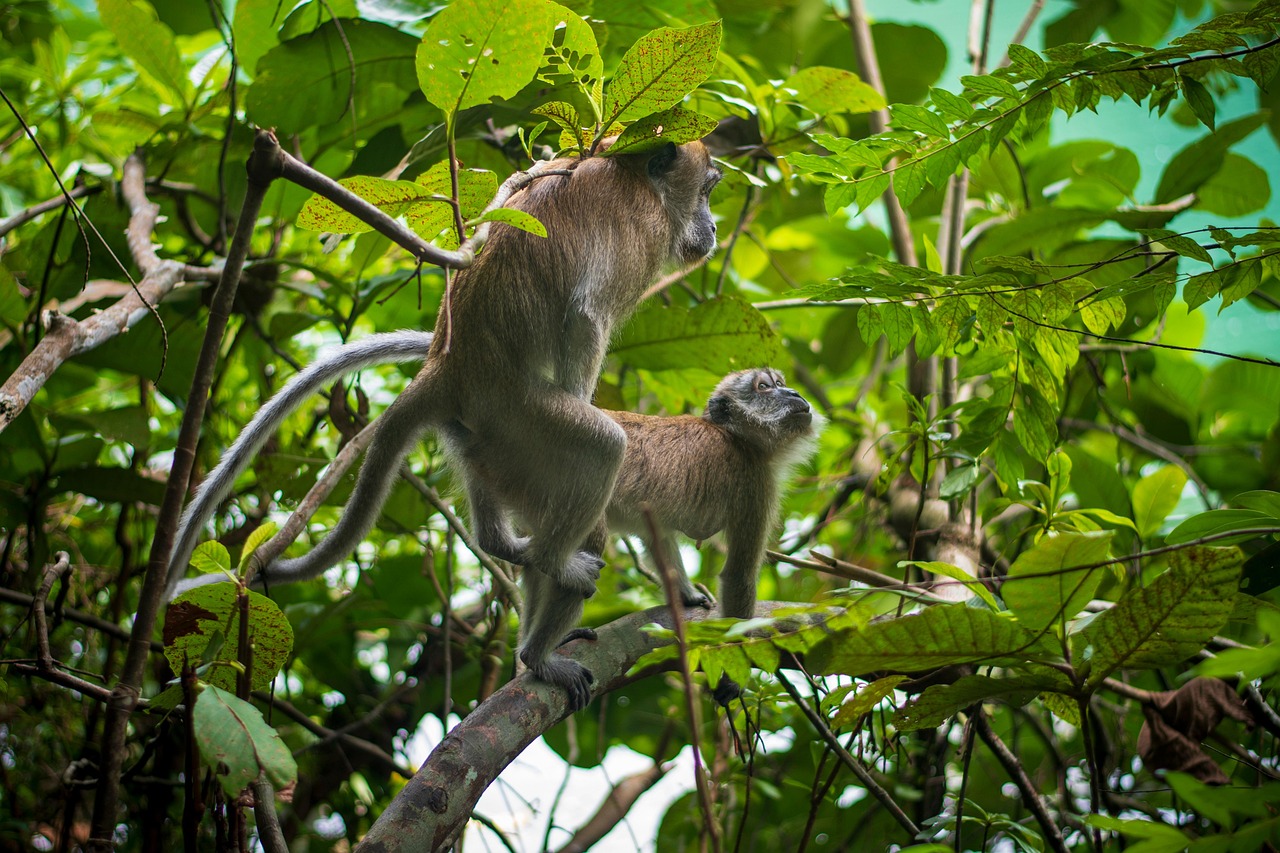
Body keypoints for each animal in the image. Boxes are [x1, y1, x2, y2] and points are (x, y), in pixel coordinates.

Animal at [166, 142, 722, 711]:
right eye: (707, 190)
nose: (713, 227)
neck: (637, 177)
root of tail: (447, 366)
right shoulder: (641, 236)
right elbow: (586, 320)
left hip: (489, 429)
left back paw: (504, 551)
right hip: (520, 412)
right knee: (603, 445)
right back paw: (551, 586)